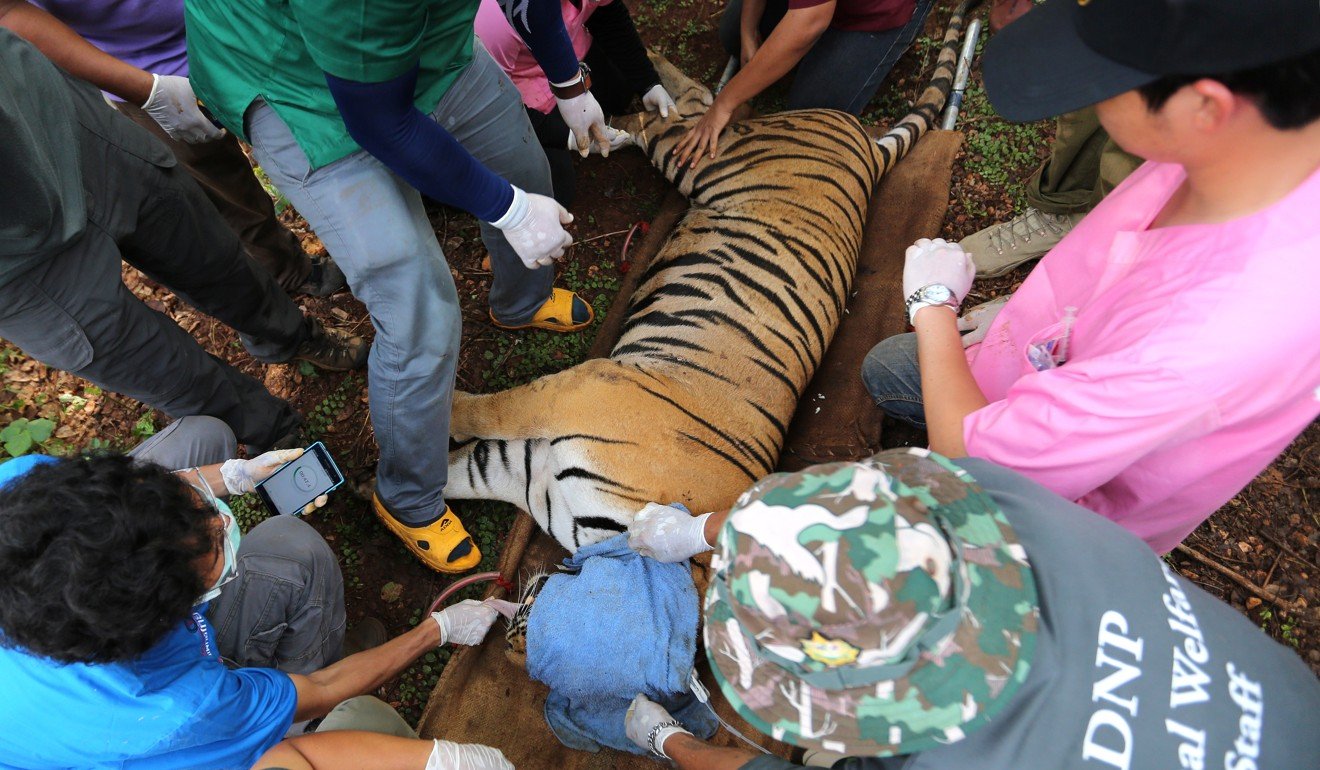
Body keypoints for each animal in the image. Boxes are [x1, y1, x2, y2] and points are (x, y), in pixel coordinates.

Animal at [446, 1, 973, 554]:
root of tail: (869, 152)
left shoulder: (532, 455)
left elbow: (477, 440)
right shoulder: (587, 387)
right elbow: (493, 410)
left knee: (677, 105)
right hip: (703, 153)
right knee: (683, 107)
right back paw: (619, 85)